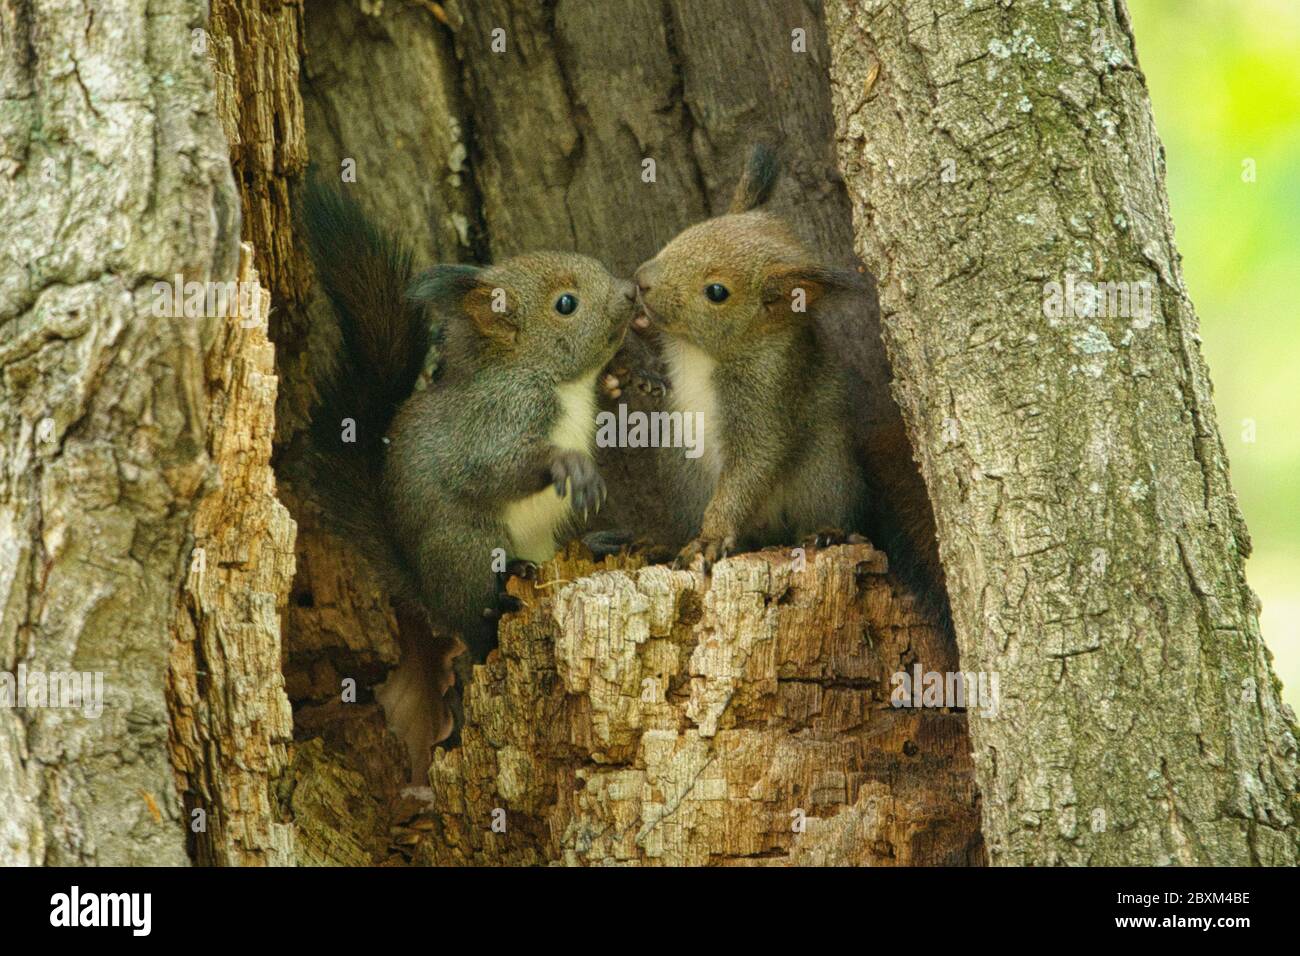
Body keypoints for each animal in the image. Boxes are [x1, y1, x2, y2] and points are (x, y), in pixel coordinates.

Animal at [301, 180, 635, 667]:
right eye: (566, 304)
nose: (630, 291)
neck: (558, 382)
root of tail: (429, 594)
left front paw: (625, 377)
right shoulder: (498, 414)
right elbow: (487, 470)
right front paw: (569, 465)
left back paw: (597, 543)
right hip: (467, 545)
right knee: (477, 627)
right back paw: (498, 604)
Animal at [630, 146, 951, 630]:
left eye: (717, 292)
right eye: (690, 231)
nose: (642, 280)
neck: (703, 353)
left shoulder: (769, 392)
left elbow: (753, 464)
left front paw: (711, 537)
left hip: (825, 471)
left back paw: (825, 532)